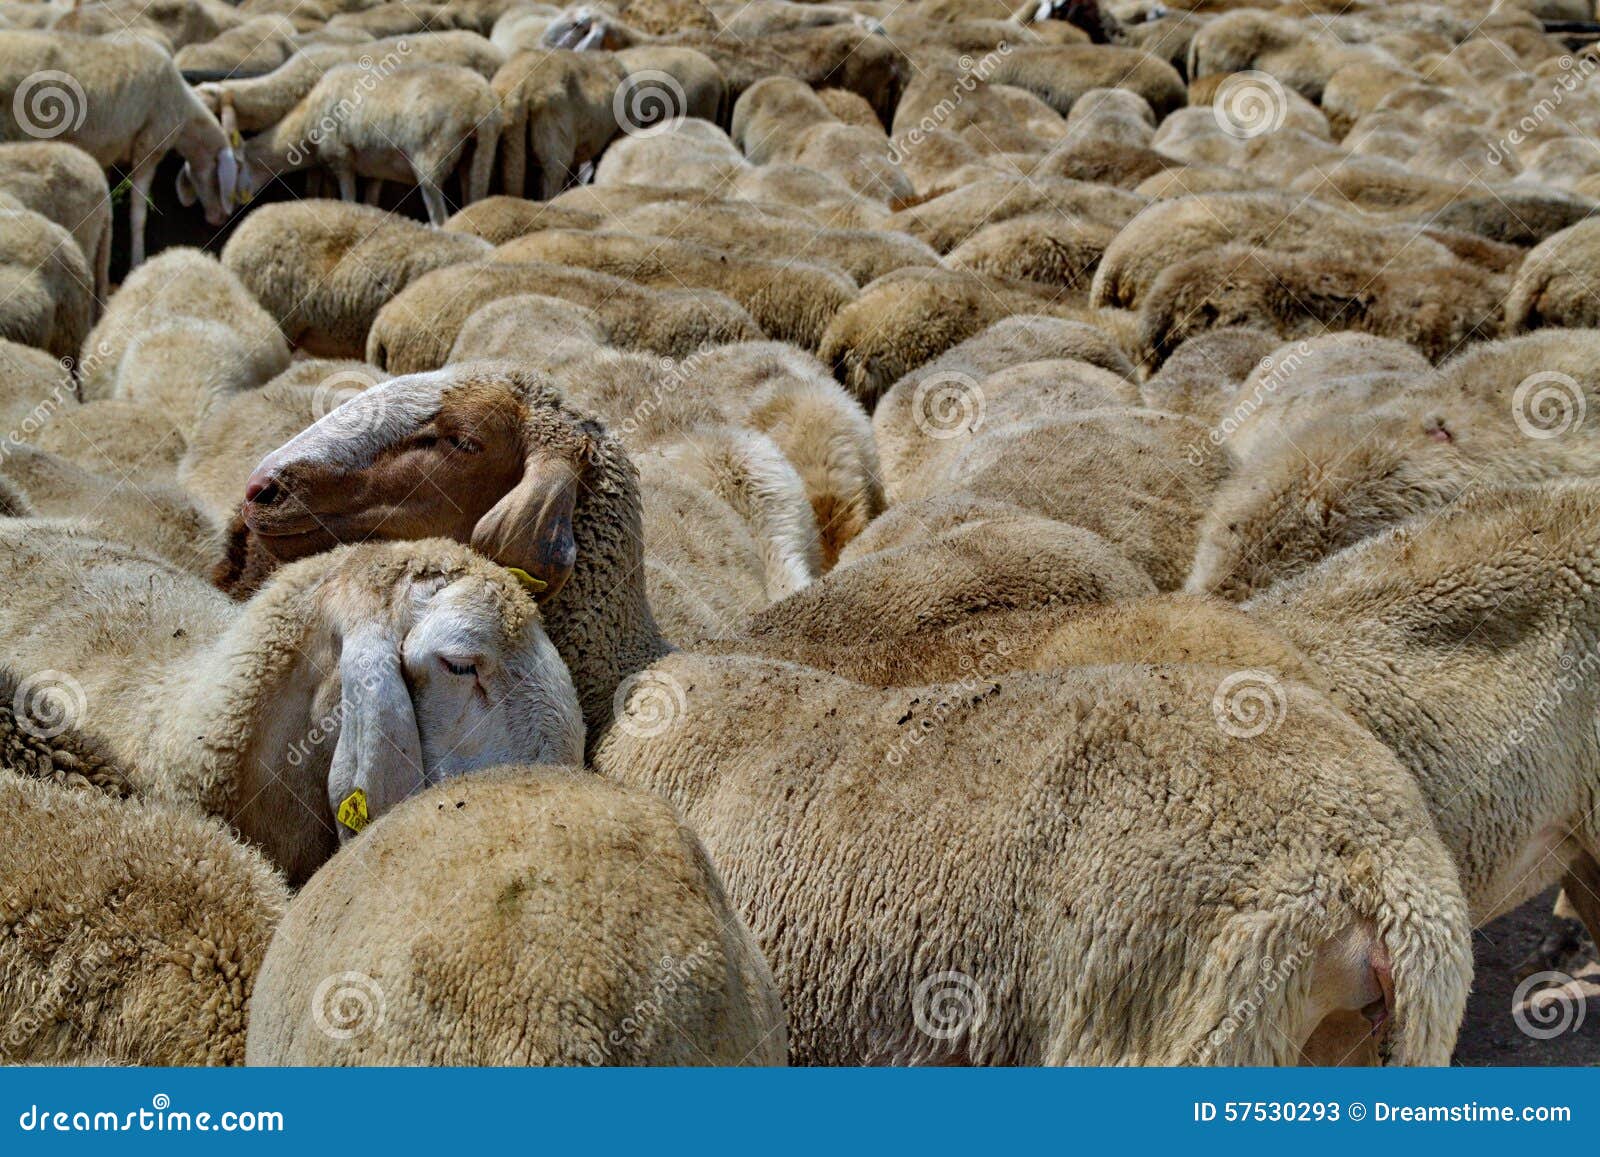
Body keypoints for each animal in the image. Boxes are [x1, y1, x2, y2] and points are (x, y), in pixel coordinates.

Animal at [0, 31, 236, 267]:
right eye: (216, 176)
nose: (219, 218)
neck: (184, 113)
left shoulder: (106, 155)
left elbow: (109, 208)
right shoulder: (149, 145)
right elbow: (138, 215)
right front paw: (137, 261)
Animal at [235, 63, 502, 223]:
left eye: (236, 169)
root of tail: (481, 102)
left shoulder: (341, 158)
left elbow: (349, 198)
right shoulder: (374, 167)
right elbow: (369, 200)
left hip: (432, 156)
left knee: (440, 218)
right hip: (477, 155)